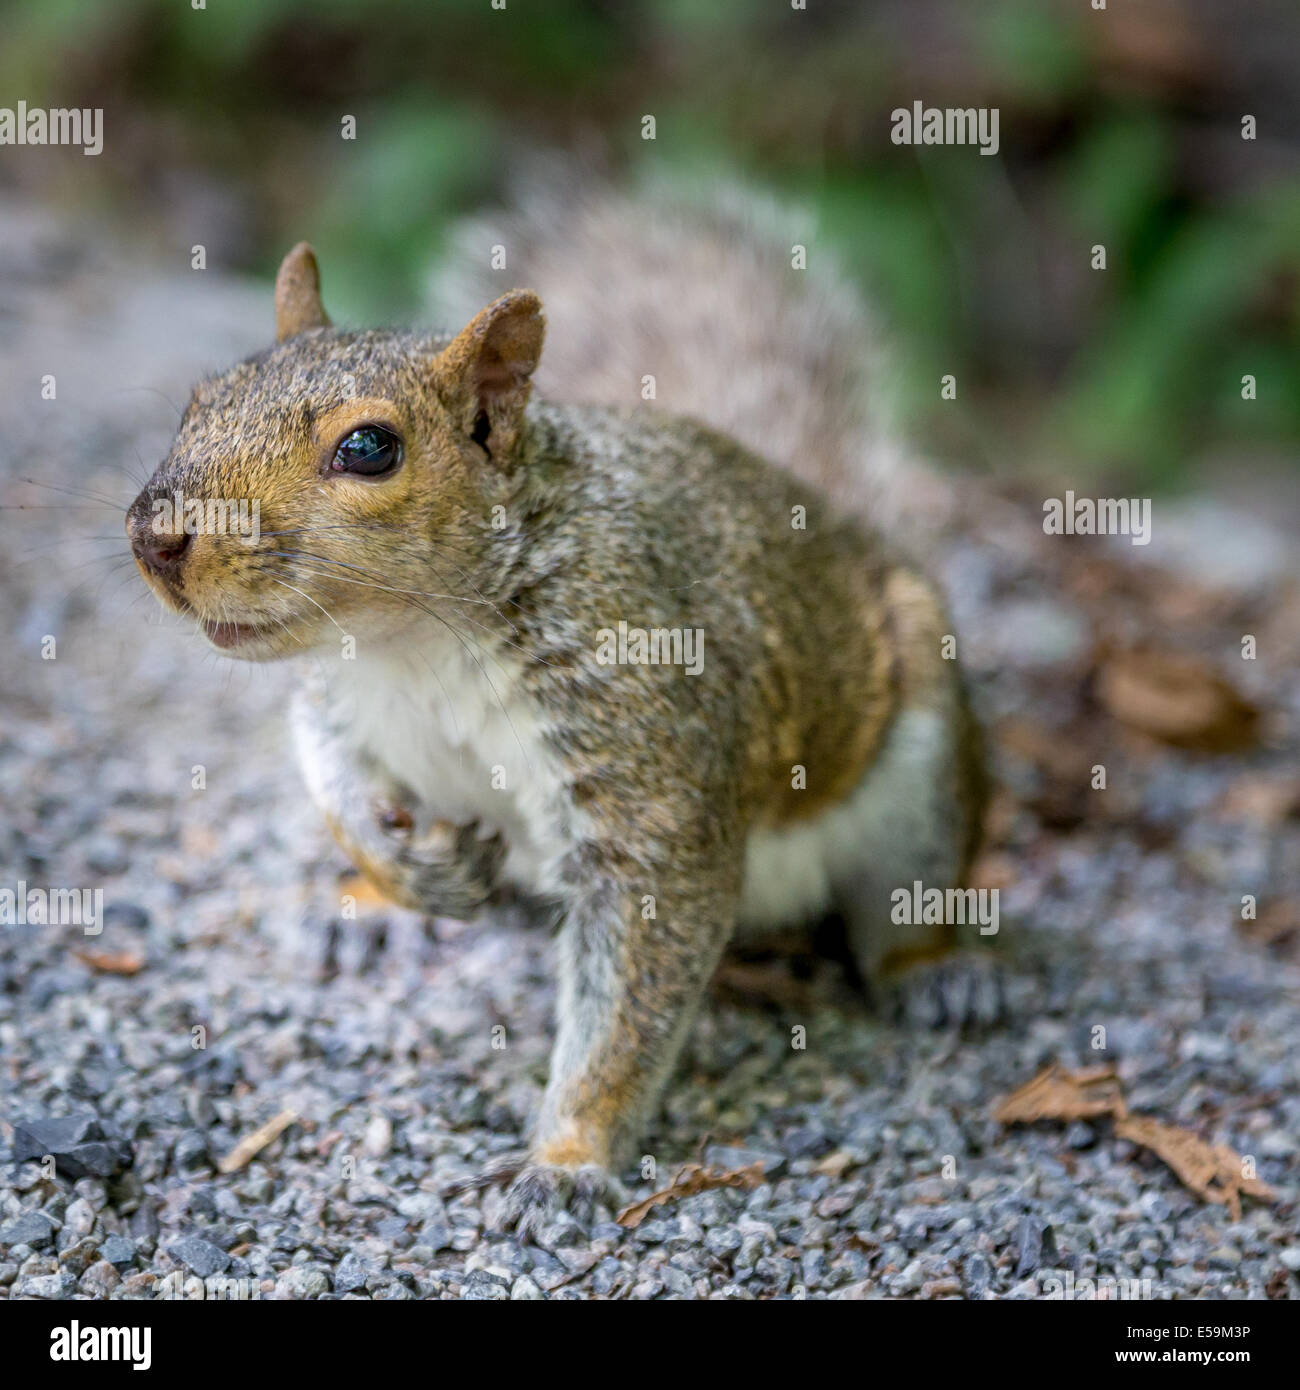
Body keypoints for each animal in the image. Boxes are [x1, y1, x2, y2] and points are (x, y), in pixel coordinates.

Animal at [127, 179, 989, 1237]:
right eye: (203, 398)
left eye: (369, 448)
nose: (155, 539)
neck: (411, 647)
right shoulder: (338, 699)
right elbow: (332, 782)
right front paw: (400, 867)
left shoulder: (640, 738)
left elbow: (628, 997)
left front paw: (568, 1158)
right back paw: (367, 909)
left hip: (917, 760)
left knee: (907, 889)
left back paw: (939, 971)